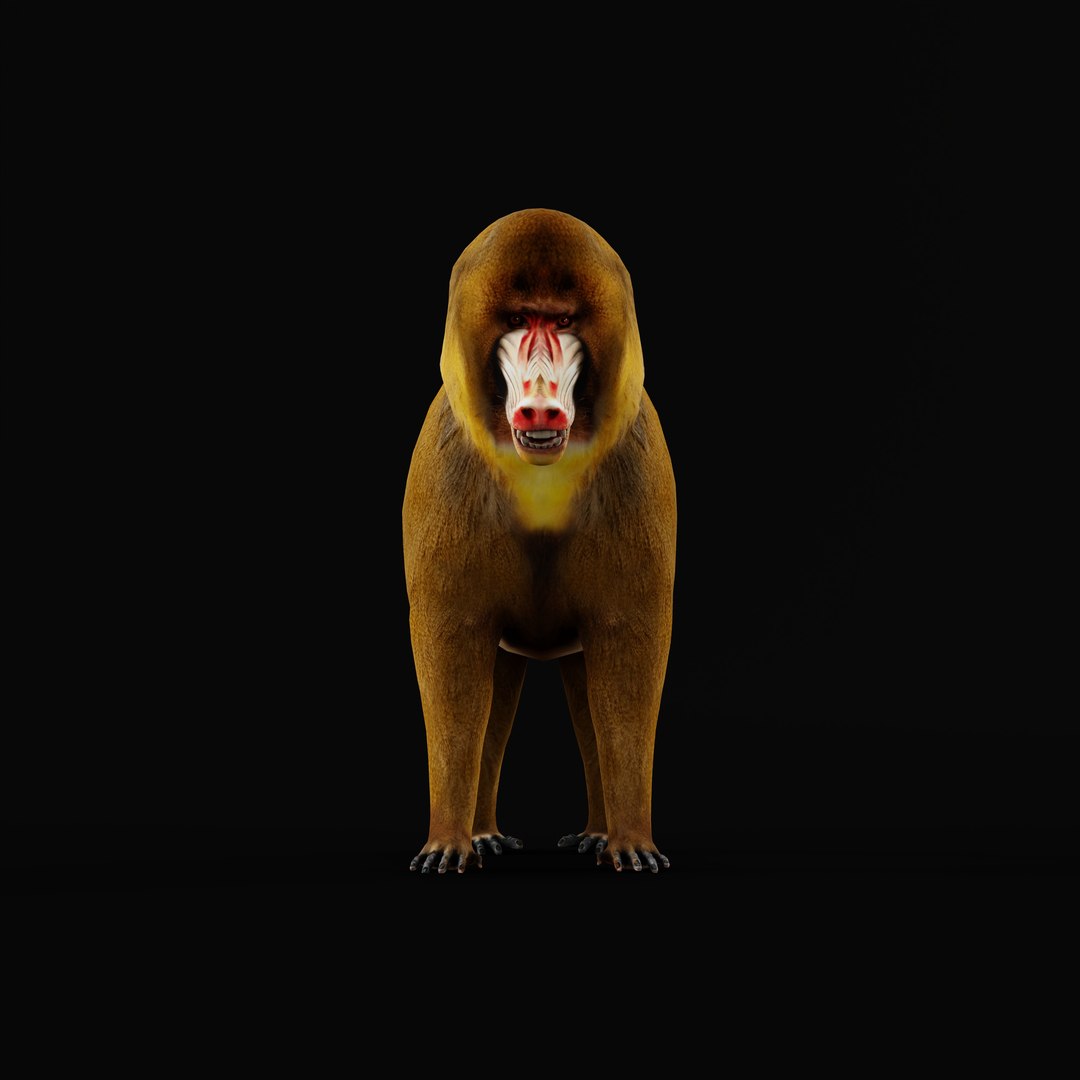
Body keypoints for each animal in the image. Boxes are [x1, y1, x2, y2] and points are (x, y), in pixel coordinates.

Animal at [403, 209, 676, 875]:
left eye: (564, 322)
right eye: (520, 319)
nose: (540, 408)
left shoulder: (634, 469)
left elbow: (628, 649)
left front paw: (632, 842)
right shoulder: (449, 473)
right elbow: (452, 652)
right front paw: (447, 841)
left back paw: (600, 832)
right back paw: (481, 833)